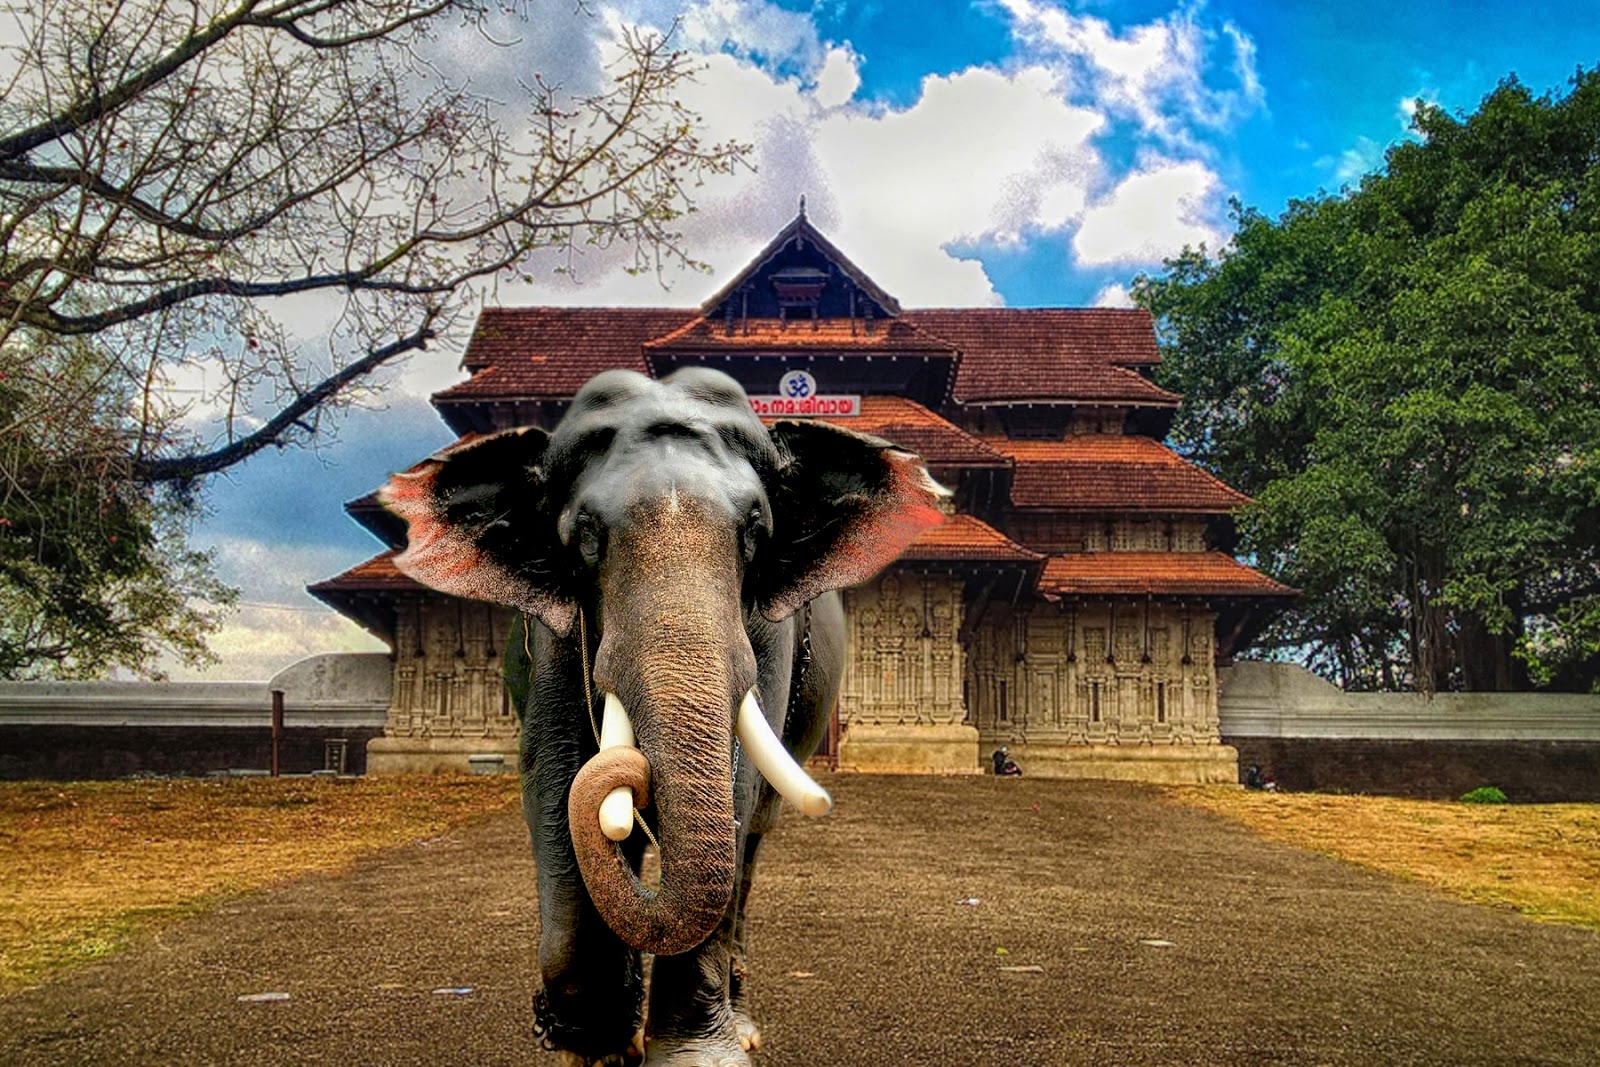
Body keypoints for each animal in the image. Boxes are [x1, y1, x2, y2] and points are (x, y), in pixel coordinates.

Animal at [380, 367, 945, 1065]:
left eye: (754, 531)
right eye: (585, 535)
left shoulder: (769, 633)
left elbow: (734, 785)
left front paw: (695, 1056)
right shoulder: (550, 635)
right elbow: (554, 776)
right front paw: (592, 1045)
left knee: (751, 845)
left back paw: (739, 1017)